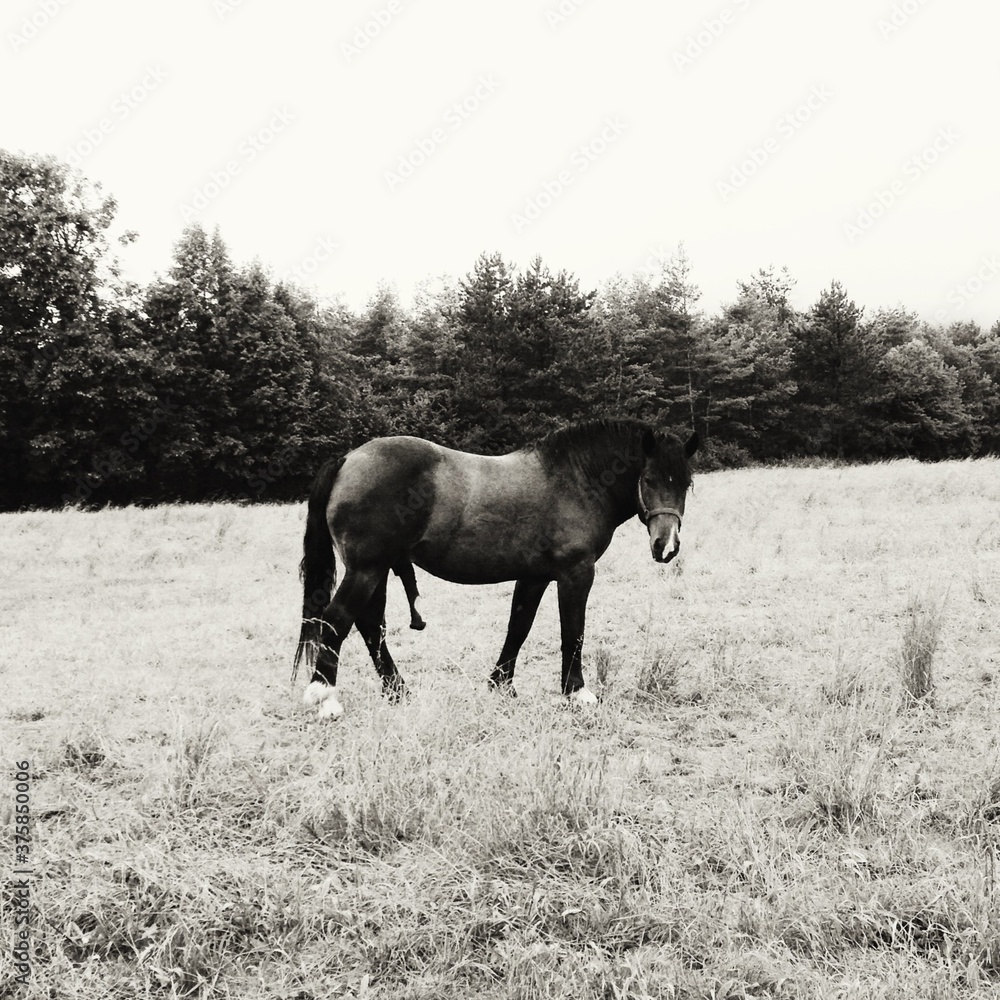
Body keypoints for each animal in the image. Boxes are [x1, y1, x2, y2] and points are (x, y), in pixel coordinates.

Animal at [292, 418, 698, 719]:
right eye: (649, 479)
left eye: (686, 483)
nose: (666, 546)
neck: (575, 479)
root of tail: (348, 459)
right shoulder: (576, 574)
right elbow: (573, 632)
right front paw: (576, 693)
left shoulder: (534, 576)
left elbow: (518, 626)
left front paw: (501, 684)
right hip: (367, 569)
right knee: (339, 619)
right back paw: (325, 698)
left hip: (376, 571)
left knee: (369, 626)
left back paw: (397, 691)